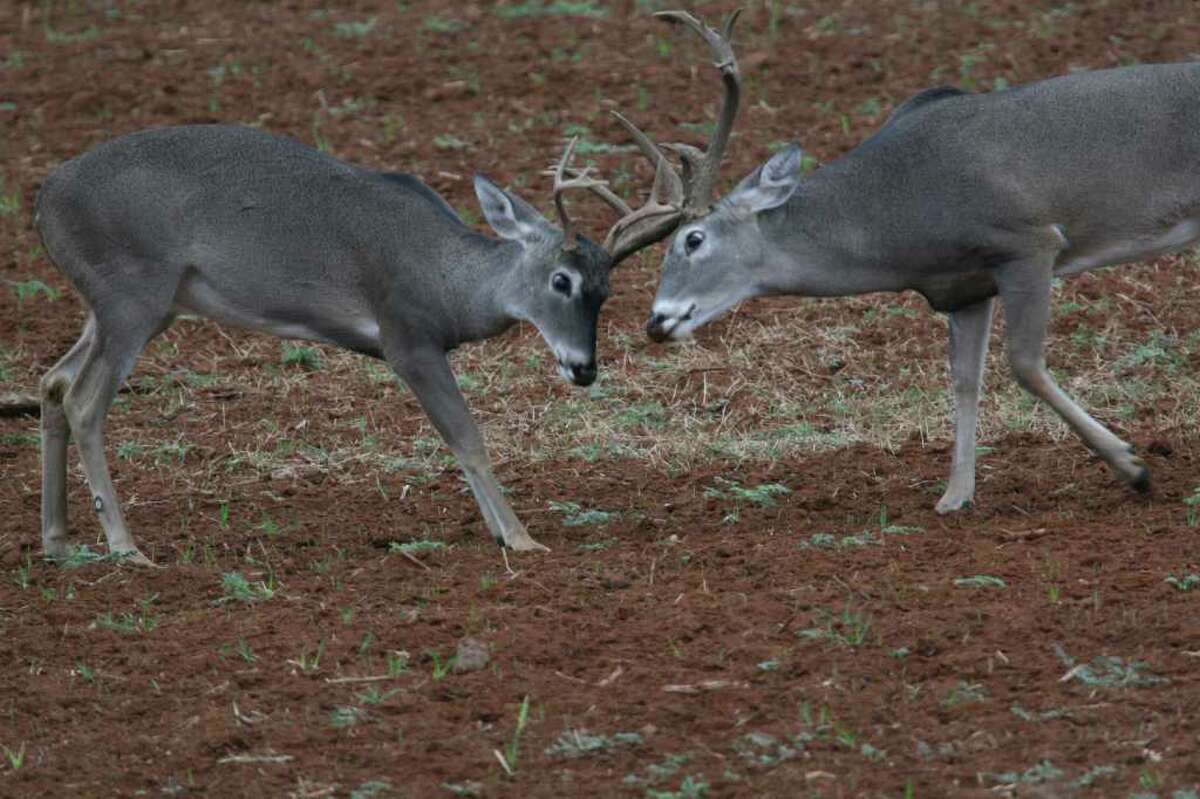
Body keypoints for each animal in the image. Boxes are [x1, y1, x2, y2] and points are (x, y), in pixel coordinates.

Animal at [33, 123, 683, 565]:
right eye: (561, 280)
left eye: (607, 290)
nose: (584, 368)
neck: (448, 283)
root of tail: (43, 201)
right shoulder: (407, 338)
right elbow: (467, 438)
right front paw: (522, 538)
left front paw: (504, 531)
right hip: (131, 293)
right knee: (85, 400)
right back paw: (124, 546)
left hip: (137, 305)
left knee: (53, 381)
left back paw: (57, 540)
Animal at [629, 11, 1200, 514]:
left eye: (693, 240)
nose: (656, 321)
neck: (897, 213)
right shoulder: (964, 286)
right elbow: (965, 380)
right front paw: (954, 497)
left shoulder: (1027, 241)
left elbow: (1024, 364)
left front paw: (1133, 467)